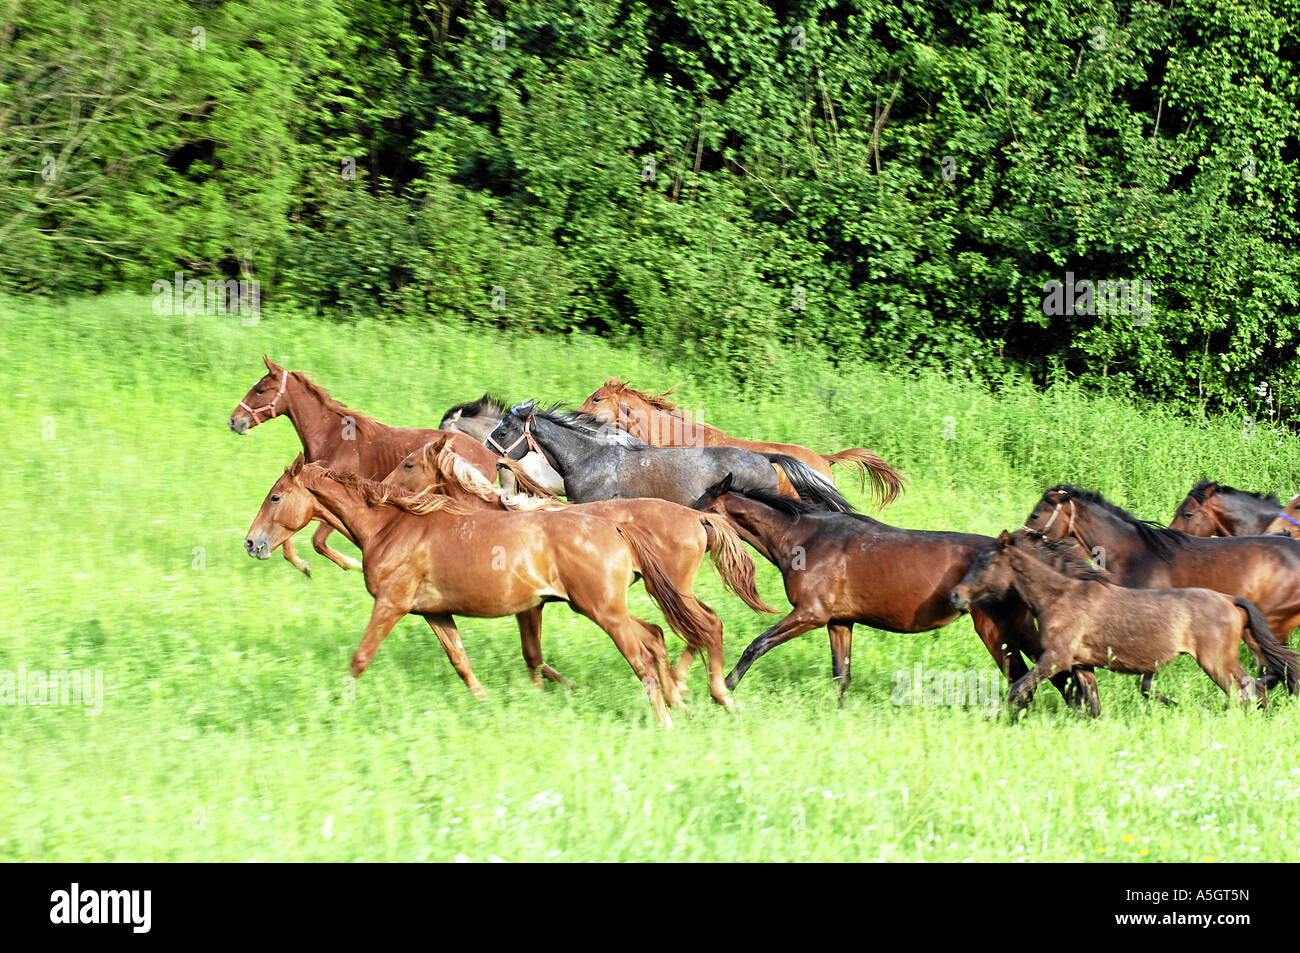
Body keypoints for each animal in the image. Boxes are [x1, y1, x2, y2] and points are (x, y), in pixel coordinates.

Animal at [229, 356, 500, 574]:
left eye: (260, 390)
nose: (234, 421)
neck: (334, 438)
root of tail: (491, 454)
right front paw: (299, 563)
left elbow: (317, 541)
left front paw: (353, 564)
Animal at [244, 460, 713, 726]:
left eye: (276, 497)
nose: (251, 543)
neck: (392, 529)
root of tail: (616, 528)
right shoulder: (435, 613)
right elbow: (462, 662)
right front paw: (486, 703)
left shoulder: (391, 604)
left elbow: (361, 657)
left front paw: (339, 704)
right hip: (603, 608)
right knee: (656, 636)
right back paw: (682, 703)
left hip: (604, 612)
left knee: (648, 657)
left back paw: (669, 718)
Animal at [383, 437, 778, 707]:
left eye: (409, 464)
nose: (383, 488)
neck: (502, 518)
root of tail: (699, 517)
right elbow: (534, 655)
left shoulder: (530, 606)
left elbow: (533, 655)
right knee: (702, 626)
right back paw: (685, 689)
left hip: (671, 590)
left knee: (706, 626)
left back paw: (712, 693)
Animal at [688, 477, 1092, 707]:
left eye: (700, 507)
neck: (806, 539)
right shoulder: (839, 622)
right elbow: (842, 675)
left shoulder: (810, 614)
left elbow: (756, 645)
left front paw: (722, 690)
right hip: (1019, 627)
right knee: (1058, 673)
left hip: (996, 631)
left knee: (1025, 679)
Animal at [950, 532, 1299, 714]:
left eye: (988, 563)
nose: (955, 595)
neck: (1061, 596)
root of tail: (1230, 600)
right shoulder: (1082, 664)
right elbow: (1093, 707)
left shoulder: (1055, 659)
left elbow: (1017, 689)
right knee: (1256, 690)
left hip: (1217, 662)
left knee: (1250, 691)